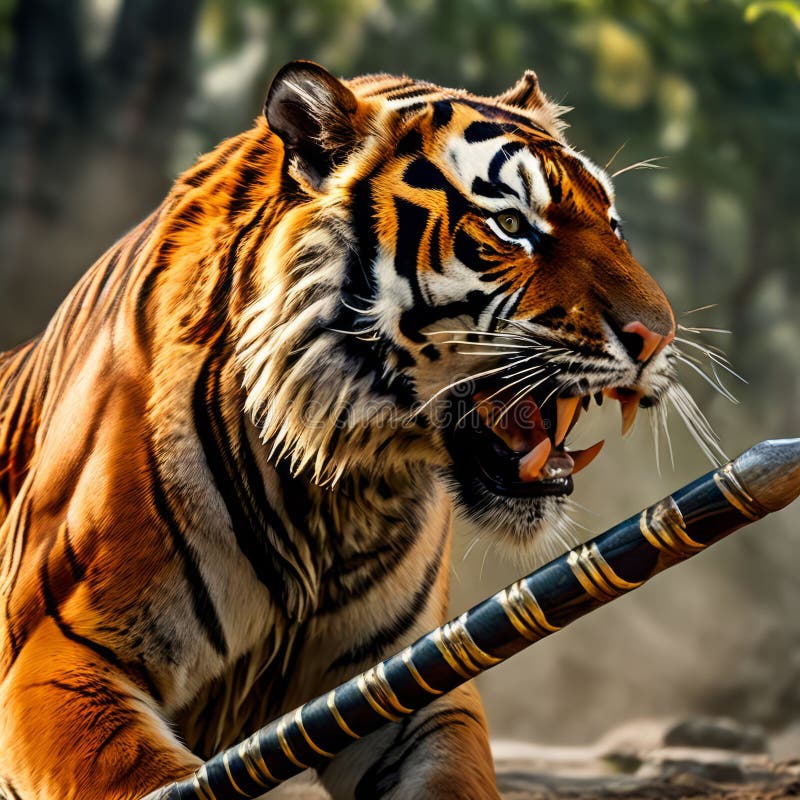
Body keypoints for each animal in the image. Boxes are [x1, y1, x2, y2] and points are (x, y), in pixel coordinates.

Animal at [0, 60, 690, 799]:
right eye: (510, 224)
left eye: (613, 225)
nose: (659, 336)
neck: (337, 486)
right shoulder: (61, 652)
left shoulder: (413, 686)